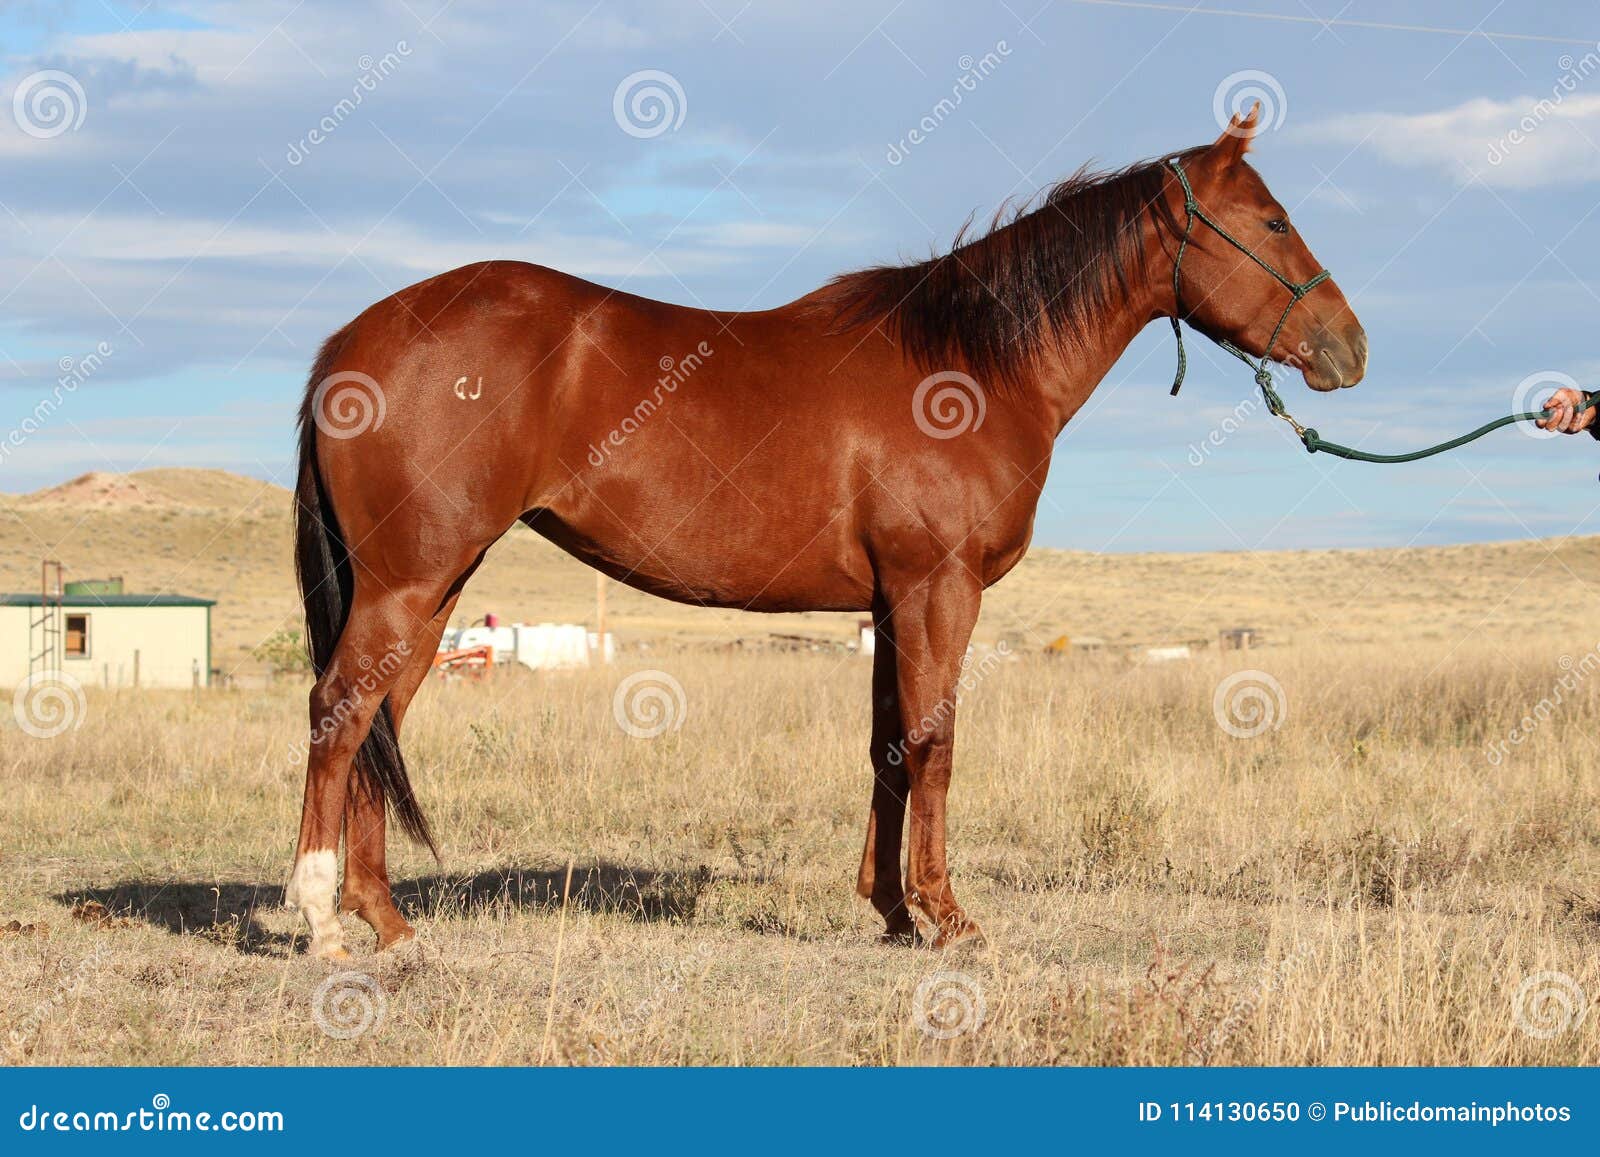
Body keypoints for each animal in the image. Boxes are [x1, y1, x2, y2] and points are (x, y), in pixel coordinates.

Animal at [284, 105, 1367, 958]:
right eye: (1270, 219)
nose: (1349, 348)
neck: (970, 361)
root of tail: (352, 337)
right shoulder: (939, 588)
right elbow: (935, 743)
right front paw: (948, 917)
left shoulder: (890, 603)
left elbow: (890, 743)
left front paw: (890, 908)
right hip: (408, 582)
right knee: (340, 710)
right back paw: (323, 917)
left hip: (434, 586)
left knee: (380, 719)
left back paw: (385, 917)